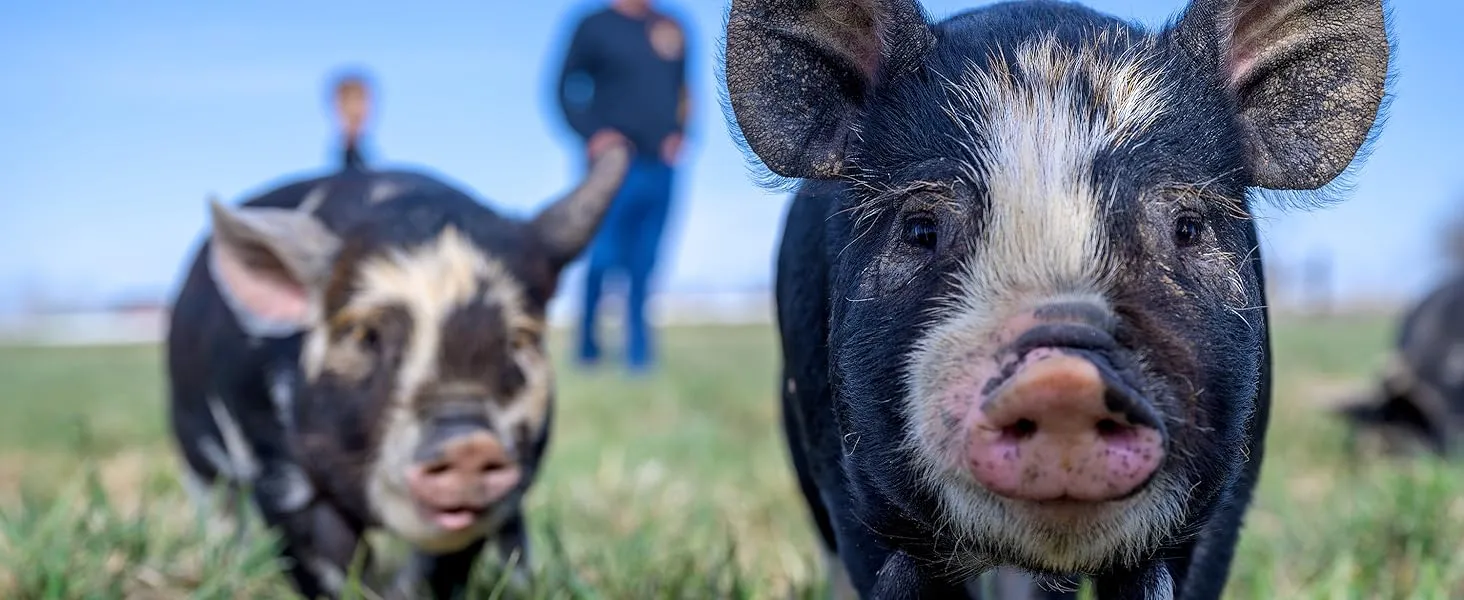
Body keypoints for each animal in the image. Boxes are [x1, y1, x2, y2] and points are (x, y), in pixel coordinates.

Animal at [165, 141, 630, 599]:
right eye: (364, 334)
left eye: (521, 339)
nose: (469, 444)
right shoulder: (278, 475)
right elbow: (328, 562)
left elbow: (439, 570)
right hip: (190, 441)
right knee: (218, 504)